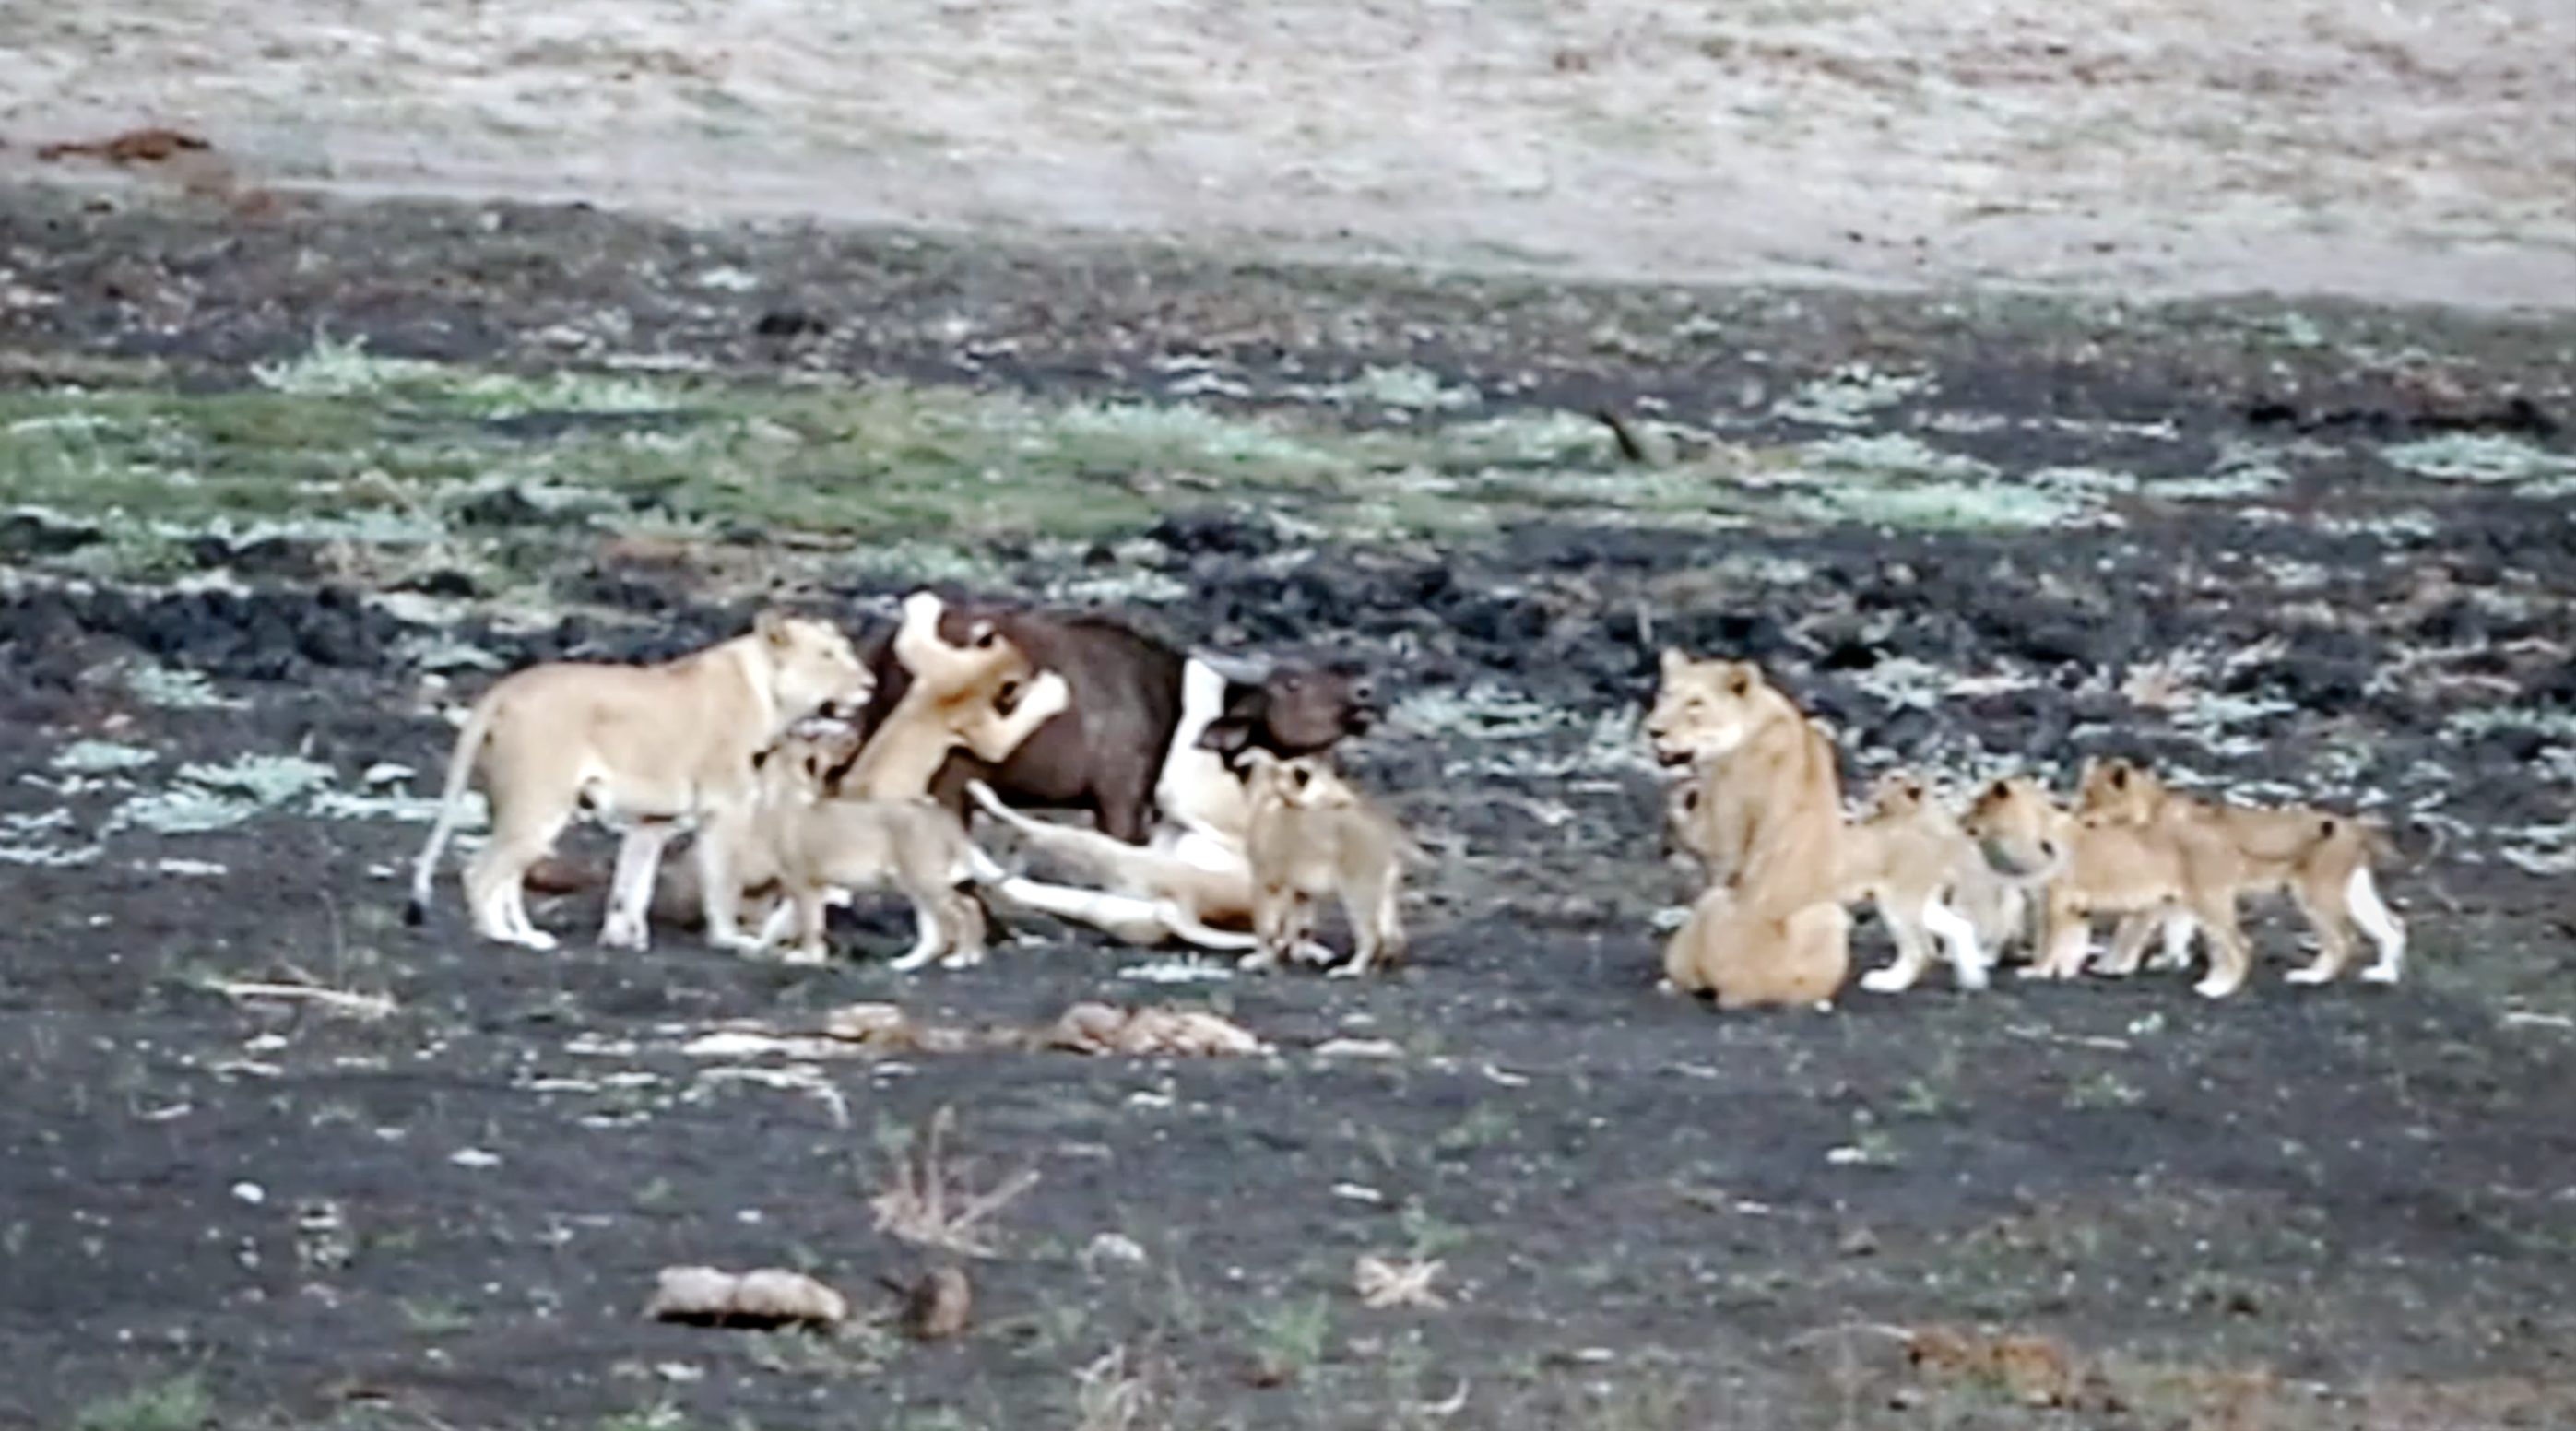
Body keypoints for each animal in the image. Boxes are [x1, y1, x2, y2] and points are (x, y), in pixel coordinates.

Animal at [404, 609, 872, 953]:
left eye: (845, 650)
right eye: (827, 655)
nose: (869, 684)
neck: (769, 693)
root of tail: (505, 687)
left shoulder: (653, 821)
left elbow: (634, 883)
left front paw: (623, 938)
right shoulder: (727, 805)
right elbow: (723, 880)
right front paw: (729, 938)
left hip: (519, 805)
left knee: (508, 876)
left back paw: (527, 935)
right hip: (540, 804)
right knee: (479, 872)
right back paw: (499, 936)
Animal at [1239, 750, 1424, 978]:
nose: (1345, 800)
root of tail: (1388, 836)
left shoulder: (1266, 881)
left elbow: (1265, 927)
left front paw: (1260, 960)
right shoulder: (1301, 890)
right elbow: (1299, 926)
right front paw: (1294, 955)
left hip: (1358, 890)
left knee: (1371, 934)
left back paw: (1350, 970)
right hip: (1384, 894)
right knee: (1394, 933)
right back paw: (1383, 964)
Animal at [1645, 651, 1851, 1010]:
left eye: (1696, 703)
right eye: (1665, 694)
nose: (1653, 731)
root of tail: (1749, 989)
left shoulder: (1722, 832)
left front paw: (1681, 796)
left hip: (1712, 902)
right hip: (1828, 915)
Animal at [1958, 775, 2263, 1000]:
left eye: (1978, 806)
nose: (1960, 822)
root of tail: (2225, 838)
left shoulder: (2055, 901)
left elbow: (2048, 943)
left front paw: (2037, 972)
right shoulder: (2074, 908)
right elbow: (2071, 944)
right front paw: (2066, 973)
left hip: (2209, 902)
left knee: (2241, 946)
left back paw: (2216, 989)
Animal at [2073, 757, 2419, 986]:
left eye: (2090, 797)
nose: (2074, 815)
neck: (2149, 810)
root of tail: (2357, 827)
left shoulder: (2157, 888)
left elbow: (2130, 929)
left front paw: (2112, 966)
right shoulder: (2180, 891)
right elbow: (2178, 928)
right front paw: (2171, 960)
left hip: (2316, 894)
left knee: (2343, 939)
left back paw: (2311, 976)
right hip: (2353, 890)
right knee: (2392, 924)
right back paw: (2384, 973)